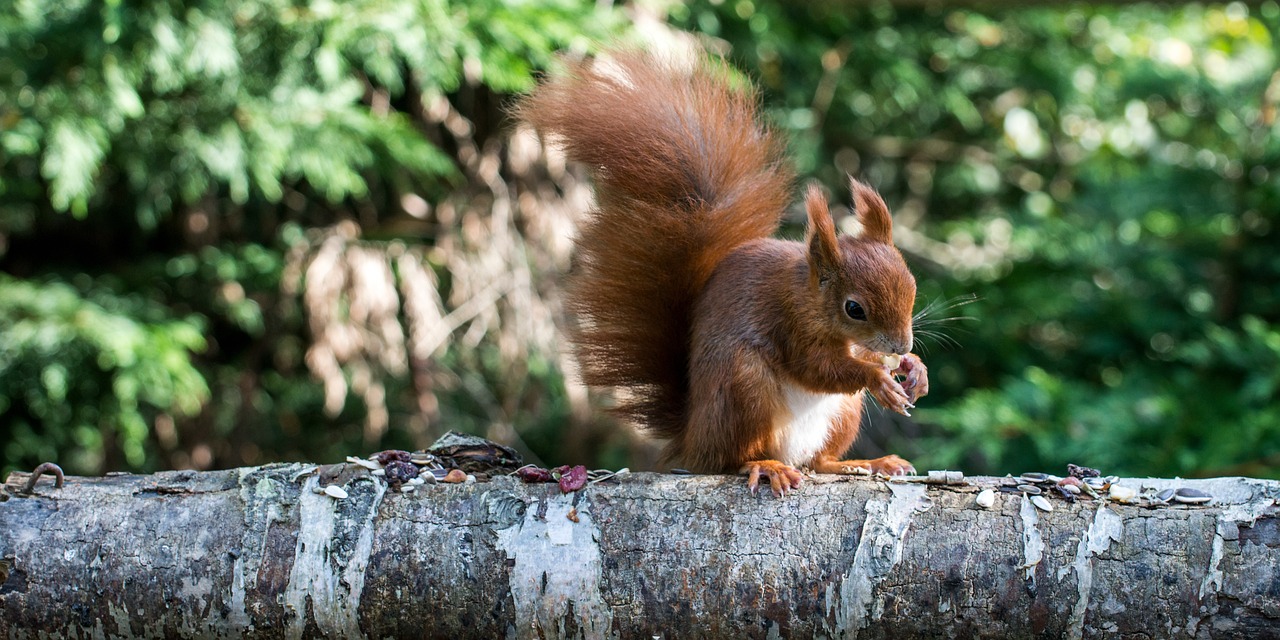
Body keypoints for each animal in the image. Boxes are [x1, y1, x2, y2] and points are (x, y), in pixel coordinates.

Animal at [519, 49, 928, 496]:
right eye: (854, 309)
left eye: (913, 287)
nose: (902, 344)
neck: (809, 297)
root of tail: (693, 438)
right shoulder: (789, 322)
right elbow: (816, 368)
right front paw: (878, 377)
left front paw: (914, 369)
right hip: (742, 387)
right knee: (731, 459)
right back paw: (766, 465)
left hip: (841, 413)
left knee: (819, 461)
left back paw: (866, 462)